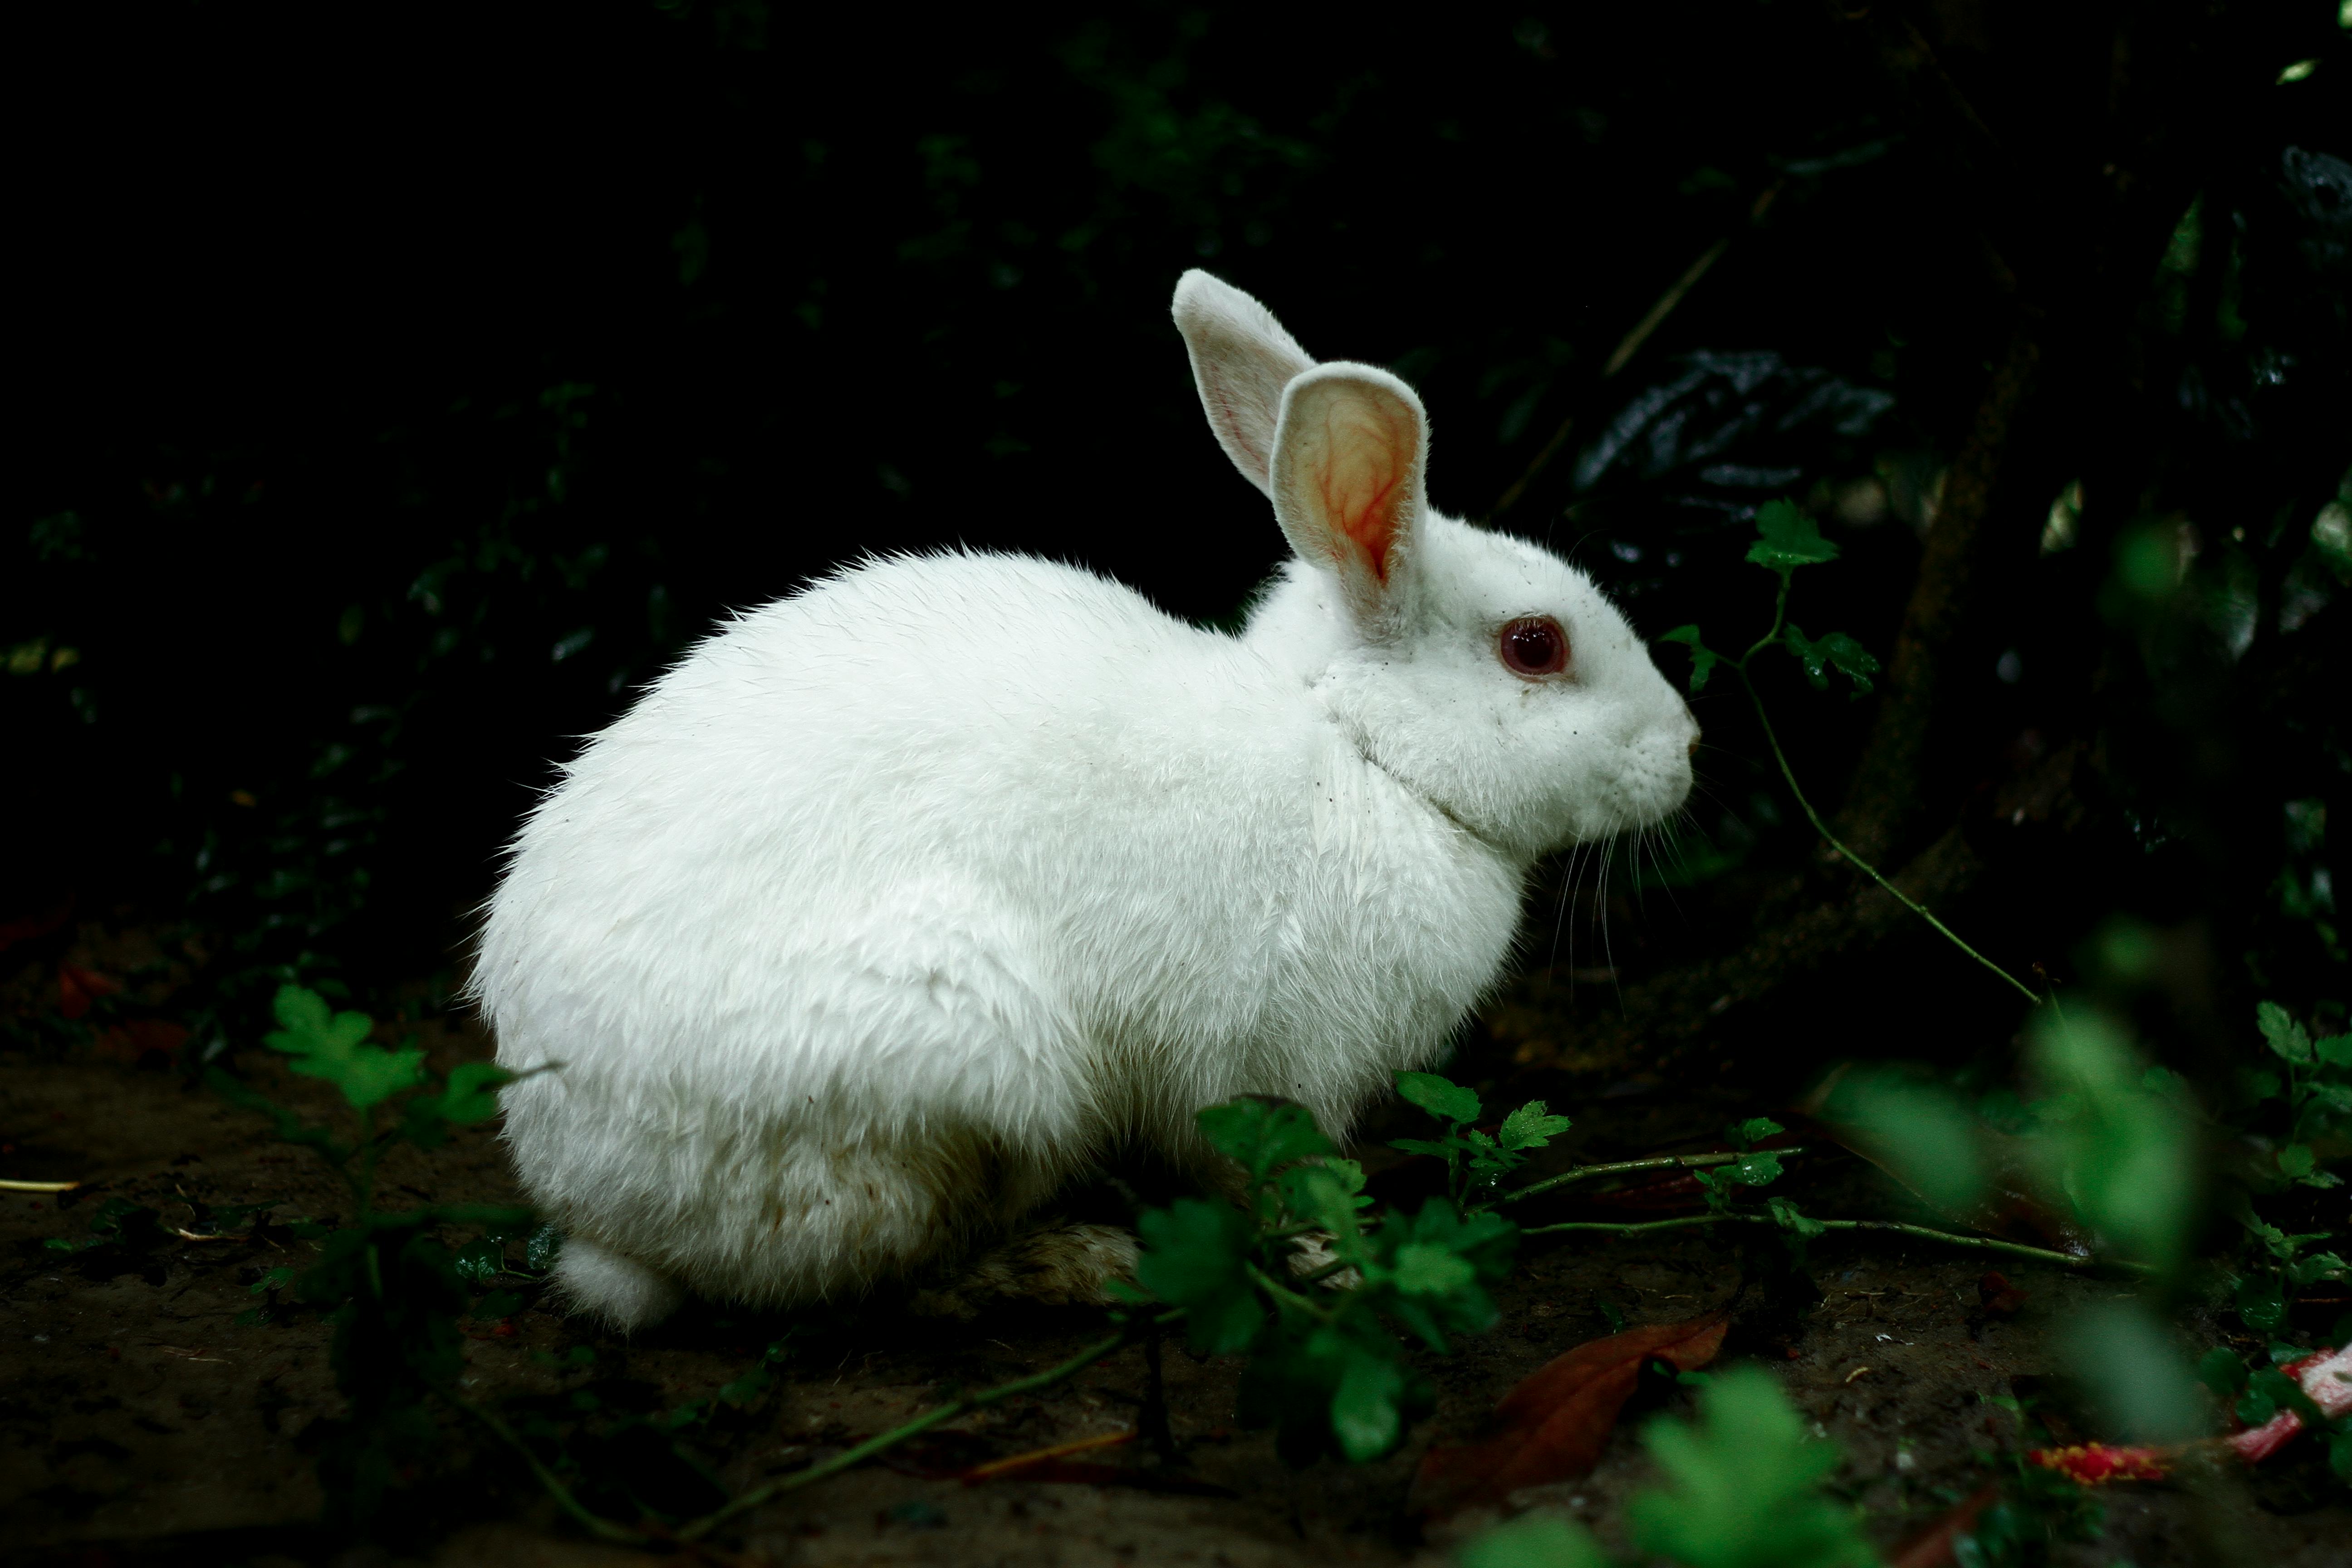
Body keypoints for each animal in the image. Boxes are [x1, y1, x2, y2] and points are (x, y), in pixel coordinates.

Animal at [472, 270, 1700, 1331]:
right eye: (1534, 646)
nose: (1689, 749)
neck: (1361, 752)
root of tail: (599, 1206)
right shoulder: (1270, 1071)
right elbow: (1271, 1175)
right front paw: (1339, 1263)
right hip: (962, 1074)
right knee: (883, 1282)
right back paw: (1081, 1264)